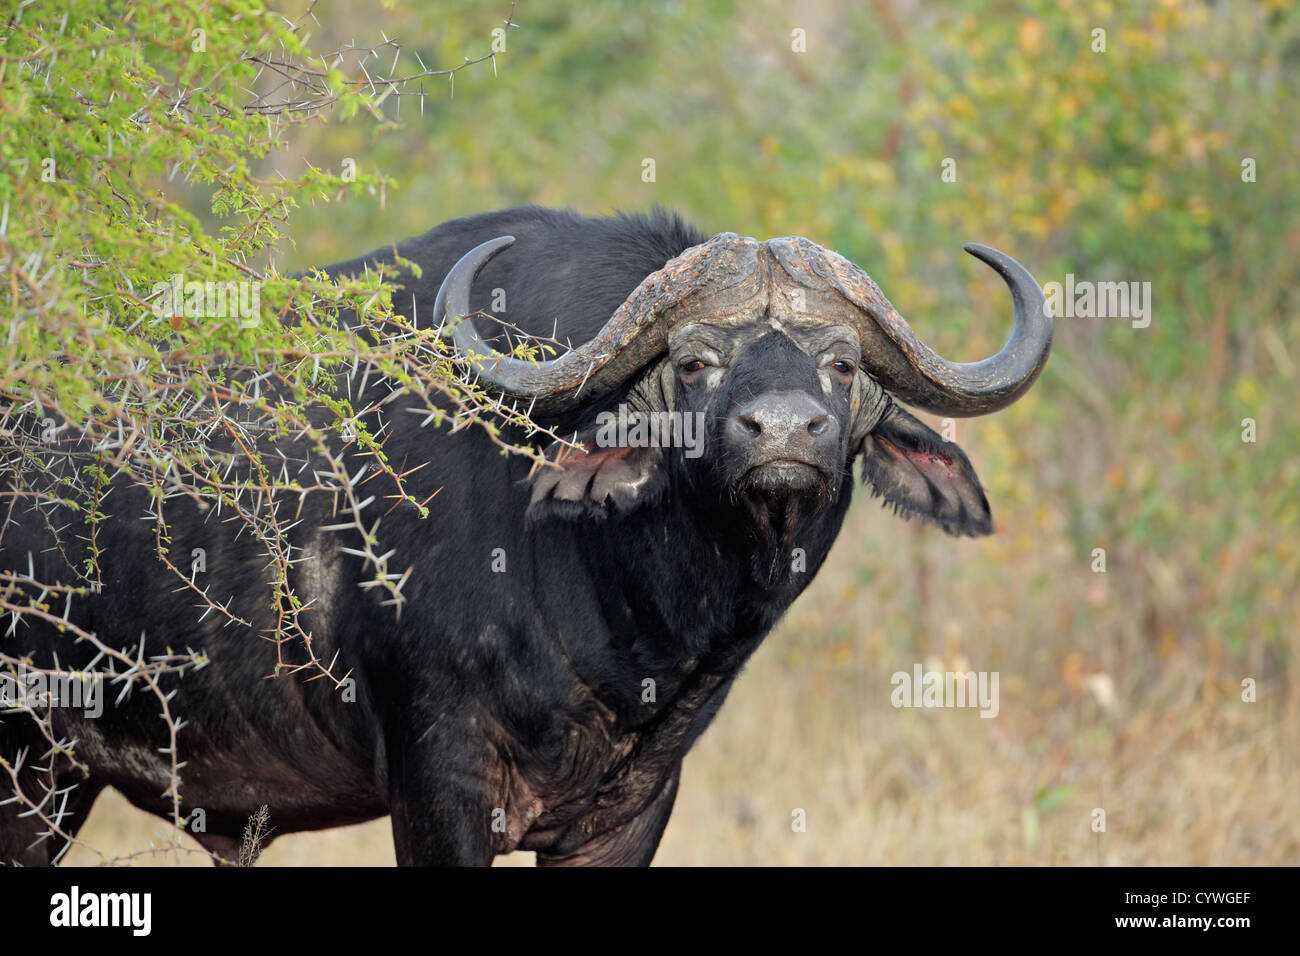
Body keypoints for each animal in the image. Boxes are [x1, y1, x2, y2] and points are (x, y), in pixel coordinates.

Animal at [0, 206, 1051, 865]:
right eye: (696, 362)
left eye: (841, 363)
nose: (787, 433)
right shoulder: (440, 790)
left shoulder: (631, 814)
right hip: (29, 773)